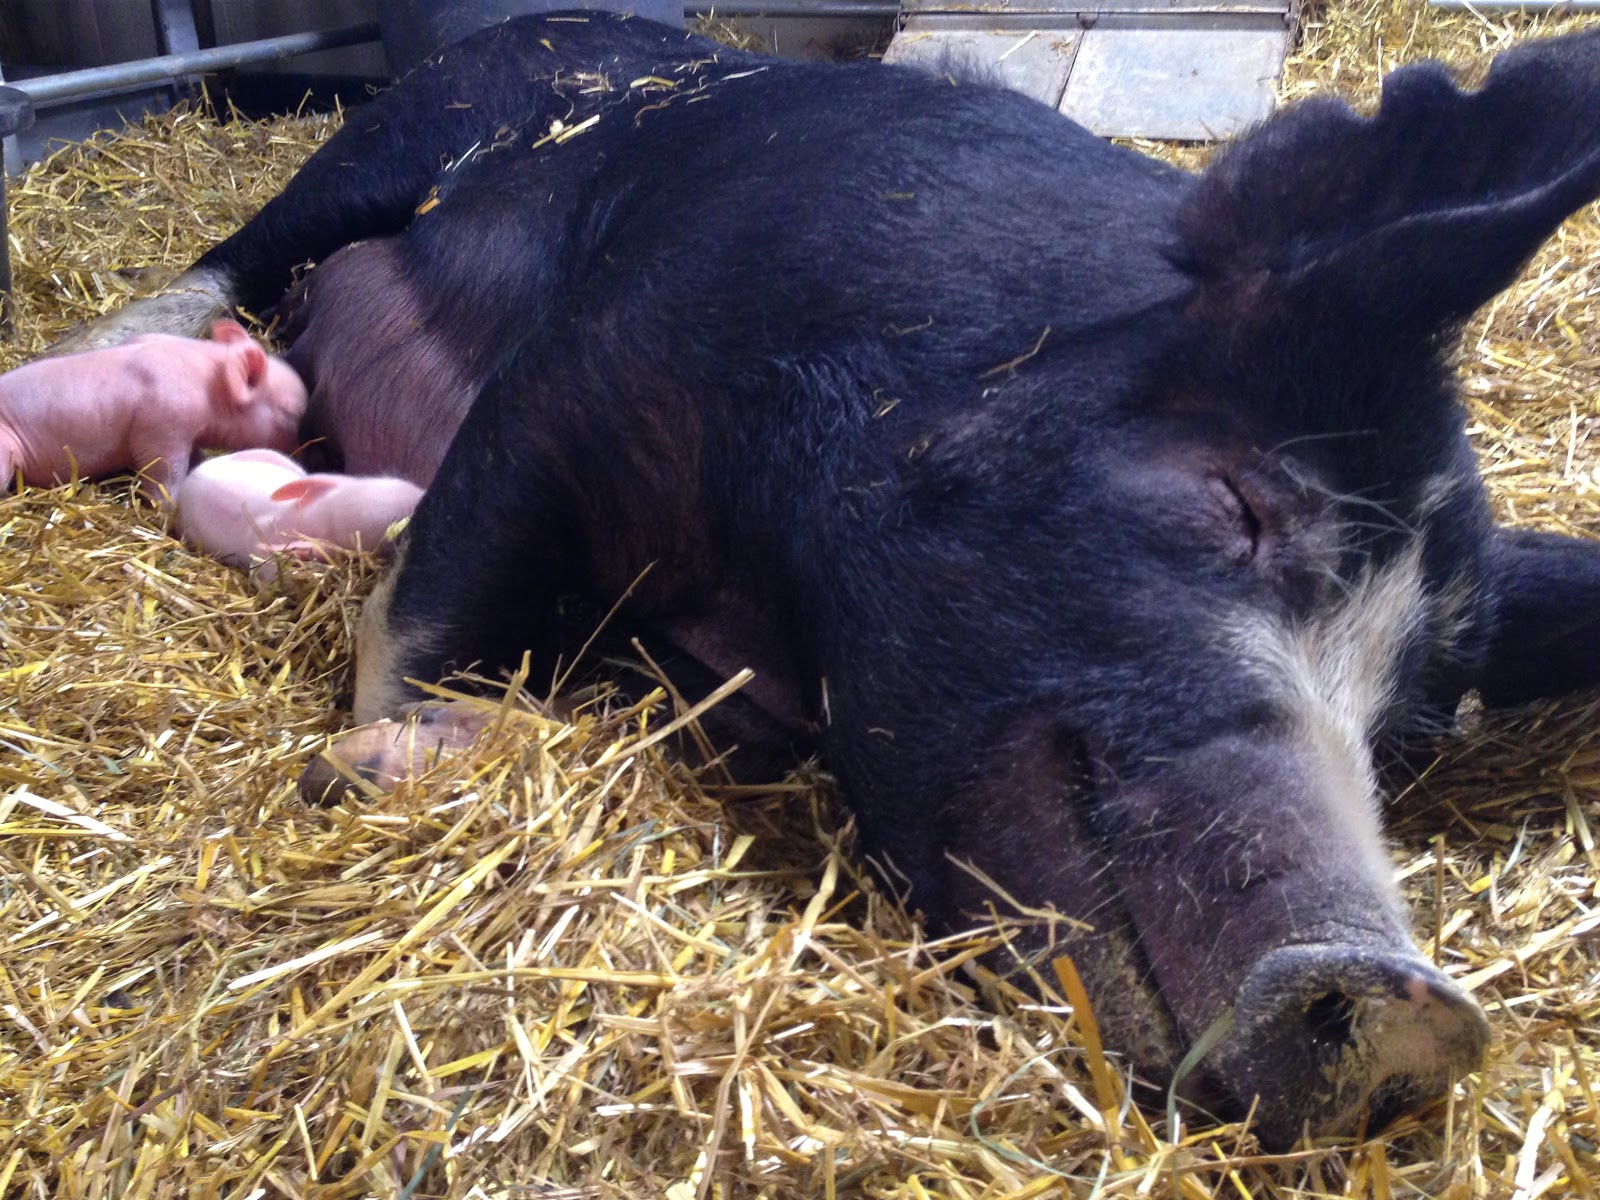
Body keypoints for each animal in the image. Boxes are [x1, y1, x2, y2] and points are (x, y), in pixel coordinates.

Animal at [0, 319, 306, 500]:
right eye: (289, 414)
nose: (306, 452)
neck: (206, 382)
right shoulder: (161, 427)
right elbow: (164, 472)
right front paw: (170, 505)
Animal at [50, 14, 1600, 1149]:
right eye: (1240, 504)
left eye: (1413, 725)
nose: (1419, 1010)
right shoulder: (594, 366)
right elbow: (429, 604)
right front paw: (373, 769)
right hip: (399, 135)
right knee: (240, 251)